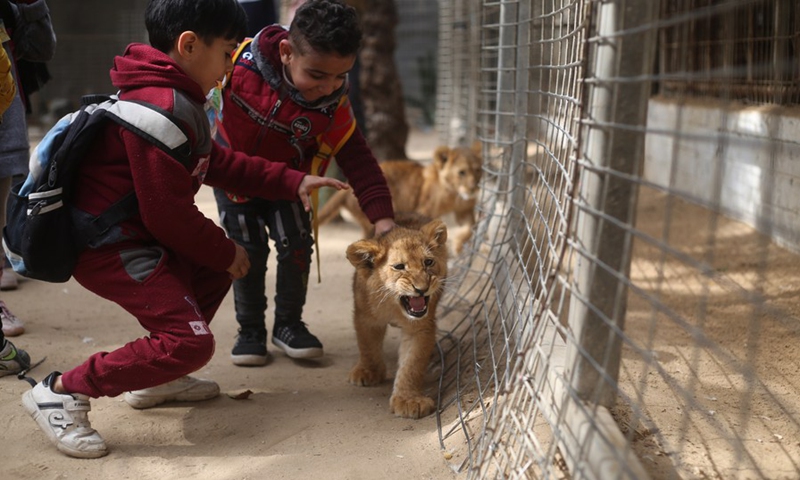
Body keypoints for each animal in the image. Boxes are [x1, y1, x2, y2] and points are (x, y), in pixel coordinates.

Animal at [318, 142, 483, 254]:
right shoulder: (425, 210)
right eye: (462, 172)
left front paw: (459, 244)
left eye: (478, 170)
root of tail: (347, 187)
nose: (473, 188)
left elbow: (471, 227)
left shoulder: (465, 211)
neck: (454, 195)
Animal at [345, 213, 448, 419]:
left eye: (428, 262)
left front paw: (409, 400)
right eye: (399, 267)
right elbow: (367, 346)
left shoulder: (420, 327)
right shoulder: (365, 318)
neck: (393, 306)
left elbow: (412, 364)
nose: (422, 288)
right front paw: (368, 371)